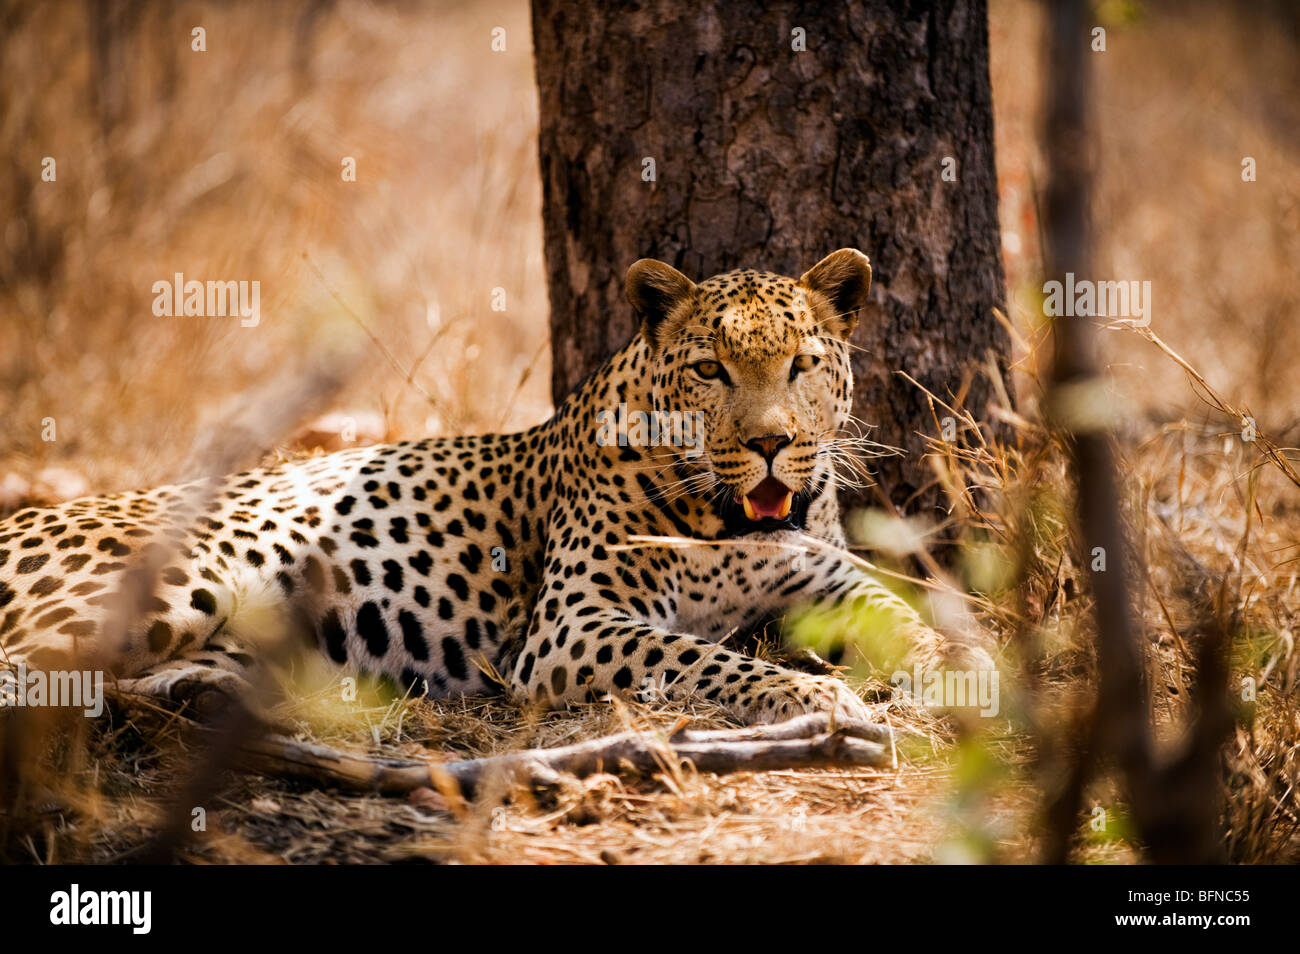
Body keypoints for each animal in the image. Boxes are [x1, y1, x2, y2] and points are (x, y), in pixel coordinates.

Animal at [0, 249, 992, 727]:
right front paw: (815, 698)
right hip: (172, 580)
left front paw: (971, 665)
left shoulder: (828, 581)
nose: (772, 444)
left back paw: (199, 702)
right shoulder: (573, 627)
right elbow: (702, 657)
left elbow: (908, 614)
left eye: (801, 365)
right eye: (710, 369)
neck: (725, 521)